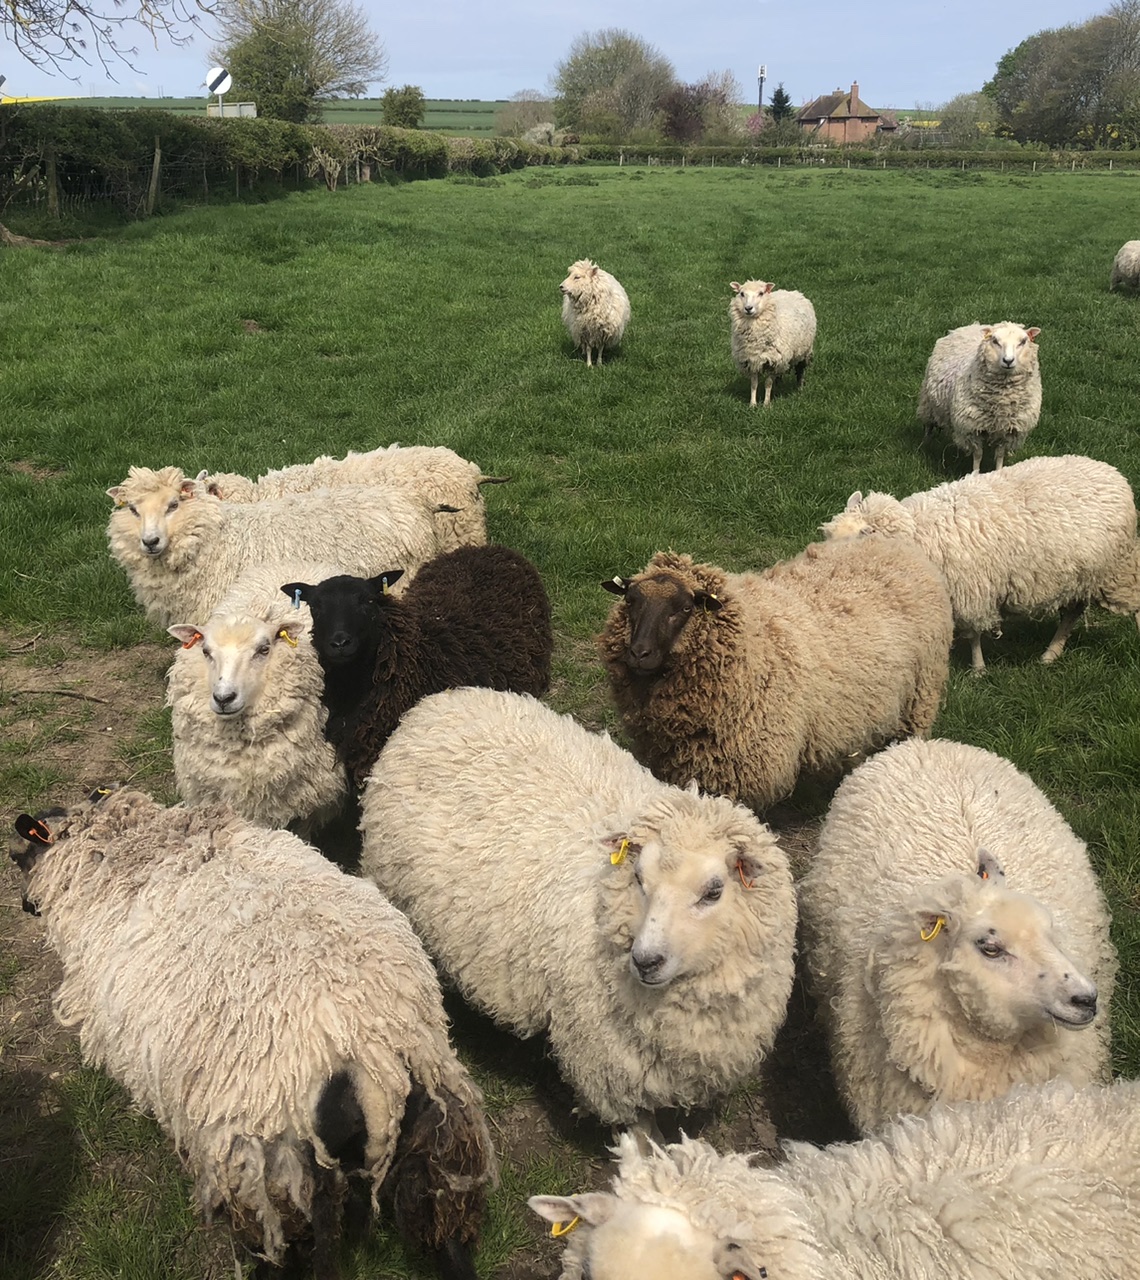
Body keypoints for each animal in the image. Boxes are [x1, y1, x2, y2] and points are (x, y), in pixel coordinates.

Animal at [9, 787, 495, 1280]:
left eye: (20, 855)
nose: (24, 905)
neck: (130, 843)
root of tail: (366, 1056)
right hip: (436, 1114)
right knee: (442, 1219)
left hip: (265, 1165)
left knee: (286, 1248)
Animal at [358, 687, 797, 1135]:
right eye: (638, 876)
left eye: (713, 891)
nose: (645, 960)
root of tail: (436, 702)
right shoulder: (611, 1065)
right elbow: (642, 1132)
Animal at [820, 454, 1140, 673]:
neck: (919, 533)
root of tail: (1113, 474)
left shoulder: (969, 592)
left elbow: (973, 634)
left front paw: (978, 669)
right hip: (1081, 576)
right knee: (1072, 614)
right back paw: (1051, 653)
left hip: (1117, 570)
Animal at [917, 320, 1042, 472]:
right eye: (995, 341)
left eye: (1023, 341)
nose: (1008, 360)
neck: (1001, 401)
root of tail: (973, 325)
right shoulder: (972, 427)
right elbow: (978, 455)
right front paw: (975, 473)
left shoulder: (1007, 430)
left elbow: (1000, 454)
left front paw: (998, 471)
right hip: (928, 402)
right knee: (928, 425)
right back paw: (925, 444)